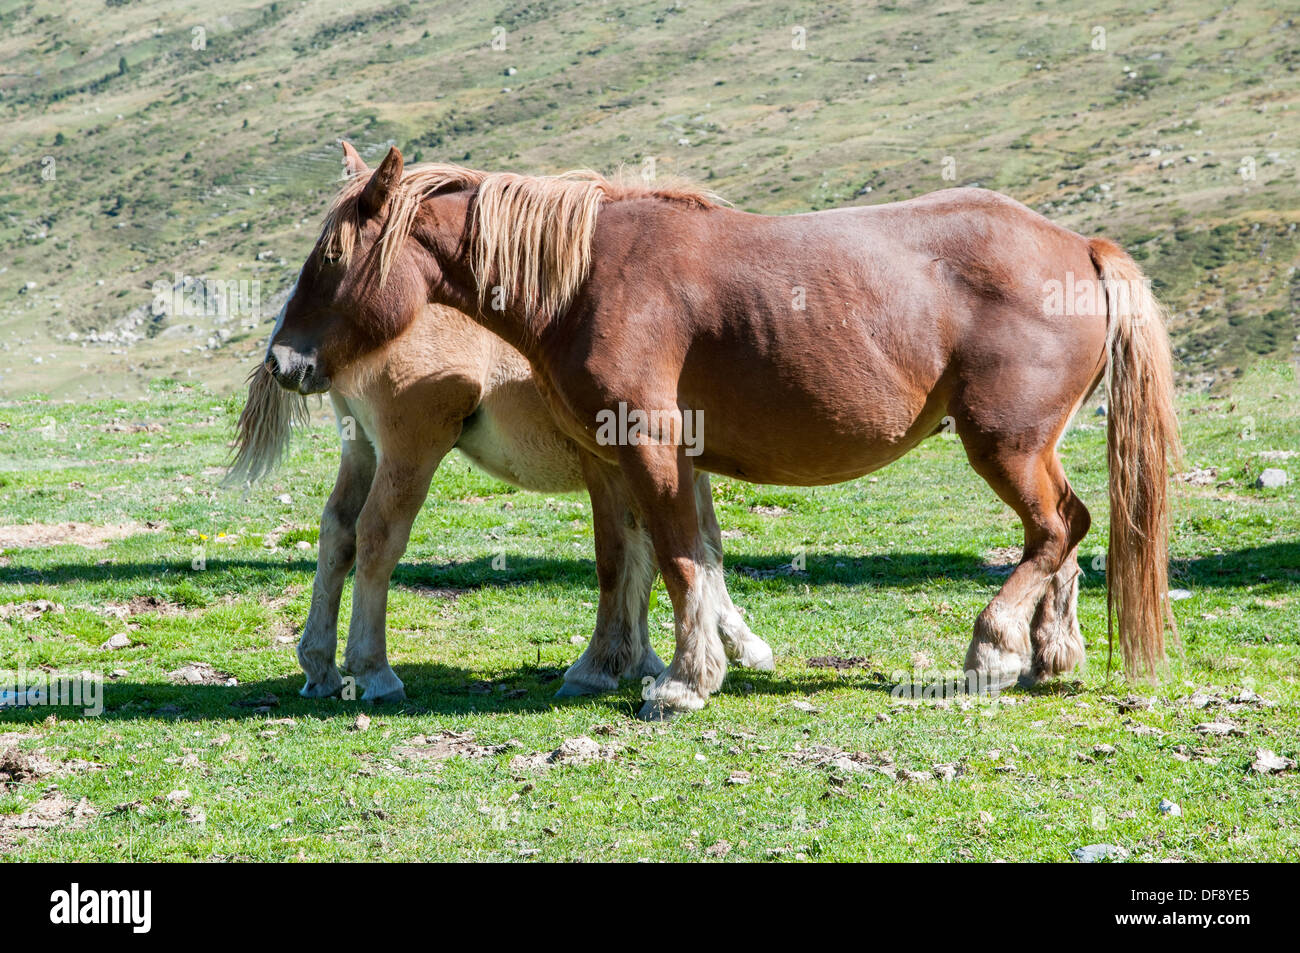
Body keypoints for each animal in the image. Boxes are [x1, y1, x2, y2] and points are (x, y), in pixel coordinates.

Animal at [230, 298, 772, 703]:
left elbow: (687, 549)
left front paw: (655, 657)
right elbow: (659, 553)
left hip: (361, 449)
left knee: (338, 532)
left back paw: (319, 668)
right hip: (410, 453)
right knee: (377, 538)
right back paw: (375, 673)